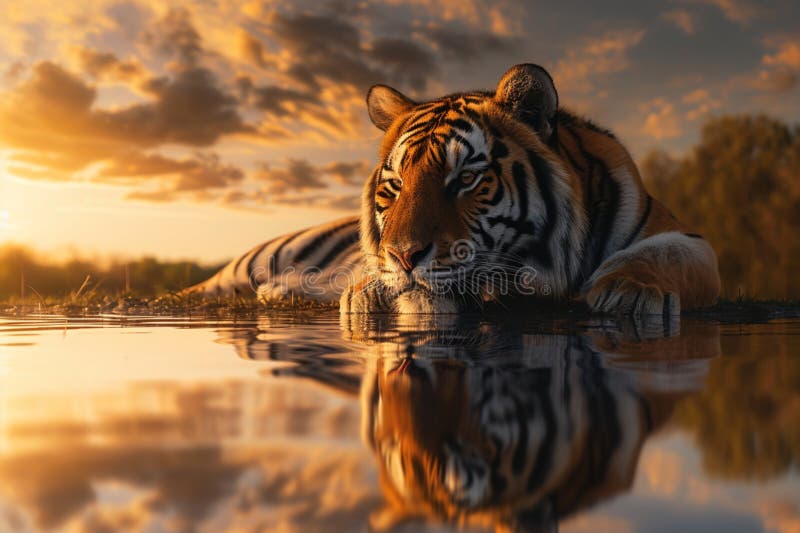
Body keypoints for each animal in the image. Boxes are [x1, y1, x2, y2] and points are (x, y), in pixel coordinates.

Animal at [189, 63, 720, 316]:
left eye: (465, 178)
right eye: (395, 186)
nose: (404, 258)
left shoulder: (686, 237)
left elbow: (660, 256)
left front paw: (629, 293)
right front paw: (368, 291)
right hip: (248, 264)